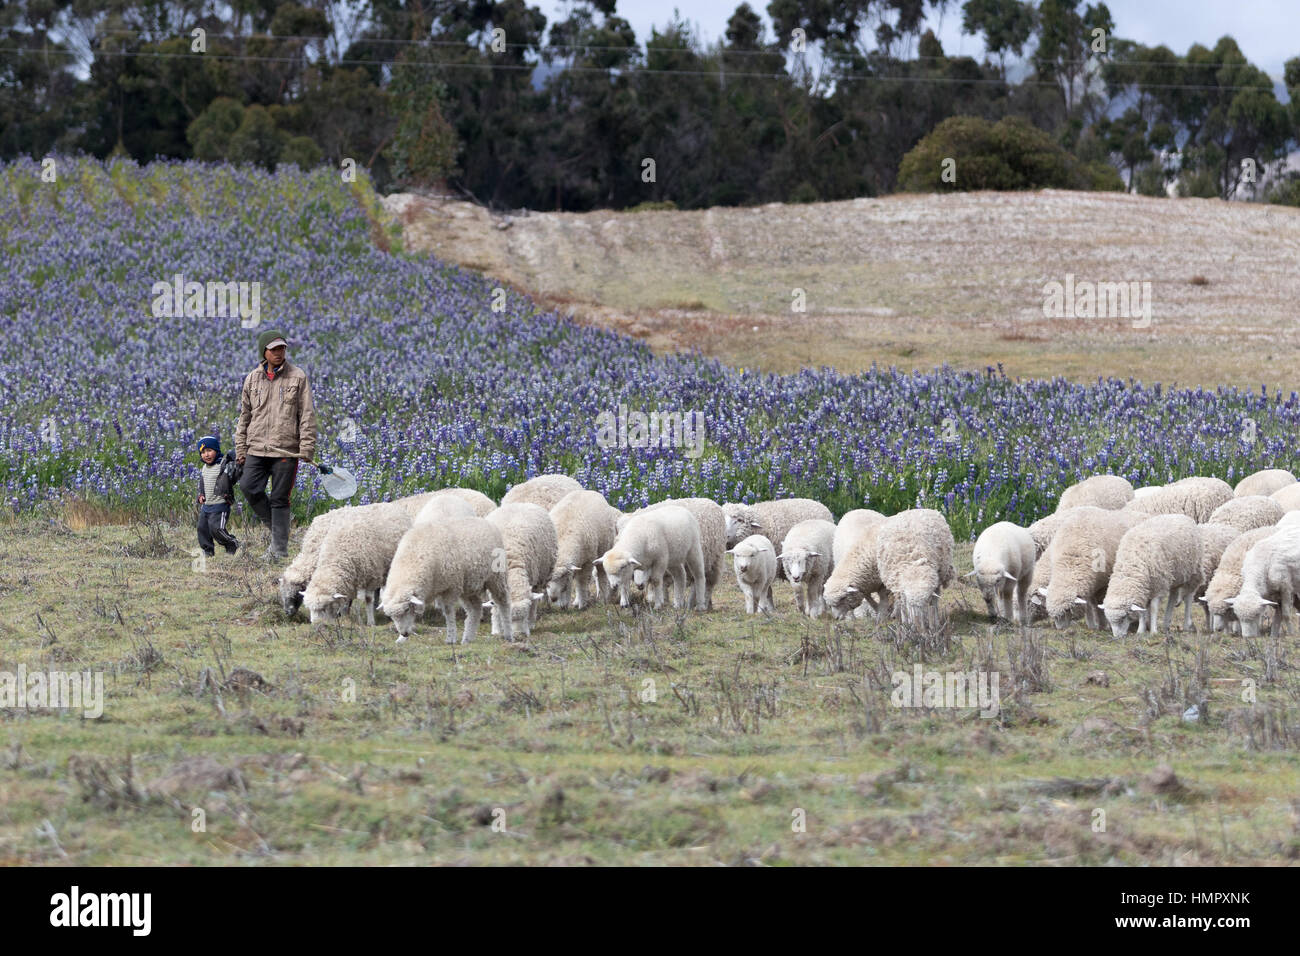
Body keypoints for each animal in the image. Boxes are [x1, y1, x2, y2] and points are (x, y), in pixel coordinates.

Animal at [379, 516, 510, 644]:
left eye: (406, 609)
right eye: (391, 616)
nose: (404, 633)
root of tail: (485, 521)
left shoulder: (451, 587)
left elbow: (448, 612)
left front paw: (451, 638)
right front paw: (401, 639)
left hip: (496, 577)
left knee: (503, 602)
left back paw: (508, 635)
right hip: (468, 585)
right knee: (476, 609)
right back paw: (467, 638)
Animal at [483, 503, 558, 638]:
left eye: (525, 613)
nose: (519, 634)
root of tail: (520, 503)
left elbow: (532, 603)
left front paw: (529, 623)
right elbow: (495, 608)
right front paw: (496, 629)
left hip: (540, 576)